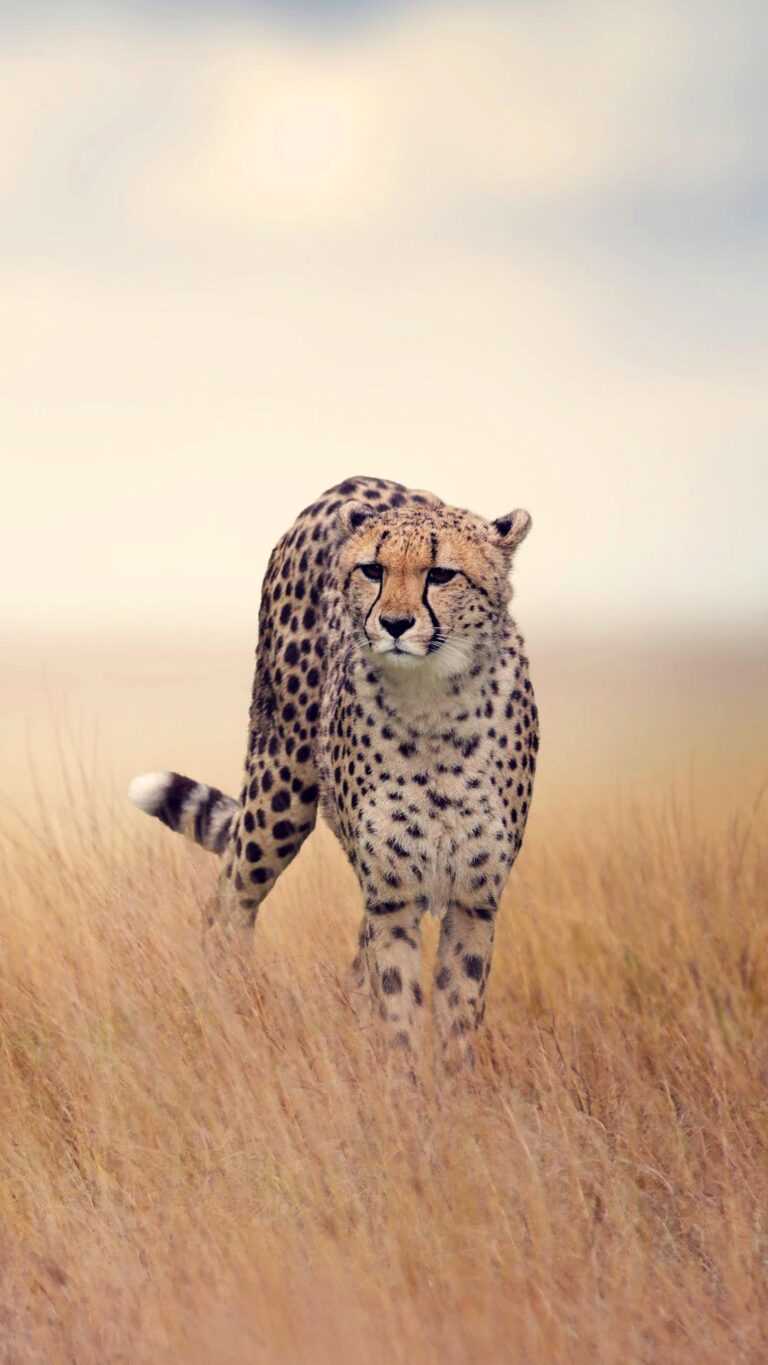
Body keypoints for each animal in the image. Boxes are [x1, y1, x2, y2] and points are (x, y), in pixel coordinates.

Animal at [129, 476, 539, 1066]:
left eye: (441, 574)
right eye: (373, 569)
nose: (394, 624)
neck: (433, 703)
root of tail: (351, 483)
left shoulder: (474, 900)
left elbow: (456, 1017)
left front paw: (452, 1087)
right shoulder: (392, 897)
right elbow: (397, 1007)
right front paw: (400, 1083)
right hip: (279, 795)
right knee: (228, 902)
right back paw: (227, 1009)